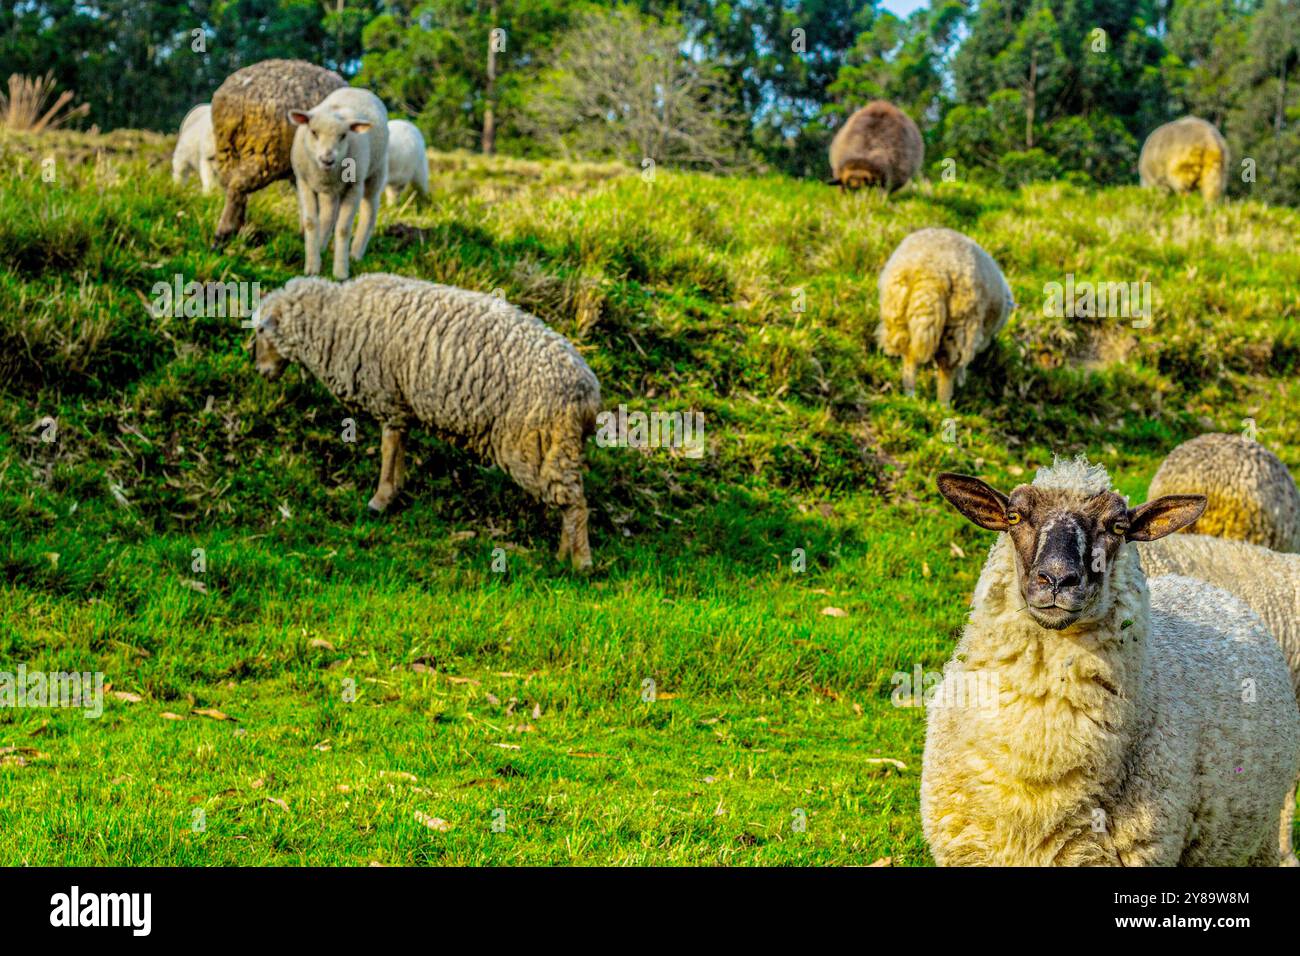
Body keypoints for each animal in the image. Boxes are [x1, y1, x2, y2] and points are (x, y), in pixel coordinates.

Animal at [210, 59, 345, 246]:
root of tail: (234, 101)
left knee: (231, 186)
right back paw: (224, 234)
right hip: (264, 153)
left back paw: (239, 231)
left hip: (227, 150)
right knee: (238, 185)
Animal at [251, 274, 601, 569]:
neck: (334, 319)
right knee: (570, 502)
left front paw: (380, 500)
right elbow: (399, 447)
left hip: (536, 444)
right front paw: (396, 487)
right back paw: (562, 555)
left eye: (261, 331)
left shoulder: (386, 397)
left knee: (575, 504)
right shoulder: (400, 403)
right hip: (556, 447)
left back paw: (581, 563)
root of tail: (588, 393)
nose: (261, 372)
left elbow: (388, 449)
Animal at [289, 87, 389, 280]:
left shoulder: (354, 187)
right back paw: (321, 246)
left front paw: (341, 271)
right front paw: (312, 267)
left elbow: (343, 229)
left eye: (343, 136)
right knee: (328, 215)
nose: (327, 160)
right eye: (313, 132)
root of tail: (358, 89)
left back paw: (356, 252)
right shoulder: (304, 182)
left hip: (376, 173)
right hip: (330, 190)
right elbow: (311, 222)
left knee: (369, 212)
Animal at [877, 227, 1013, 406]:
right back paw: (944, 404)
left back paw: (910, 394)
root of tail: (931, 273)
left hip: (897, 311)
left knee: (909, 354)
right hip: (958, 324)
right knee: (946, 367)